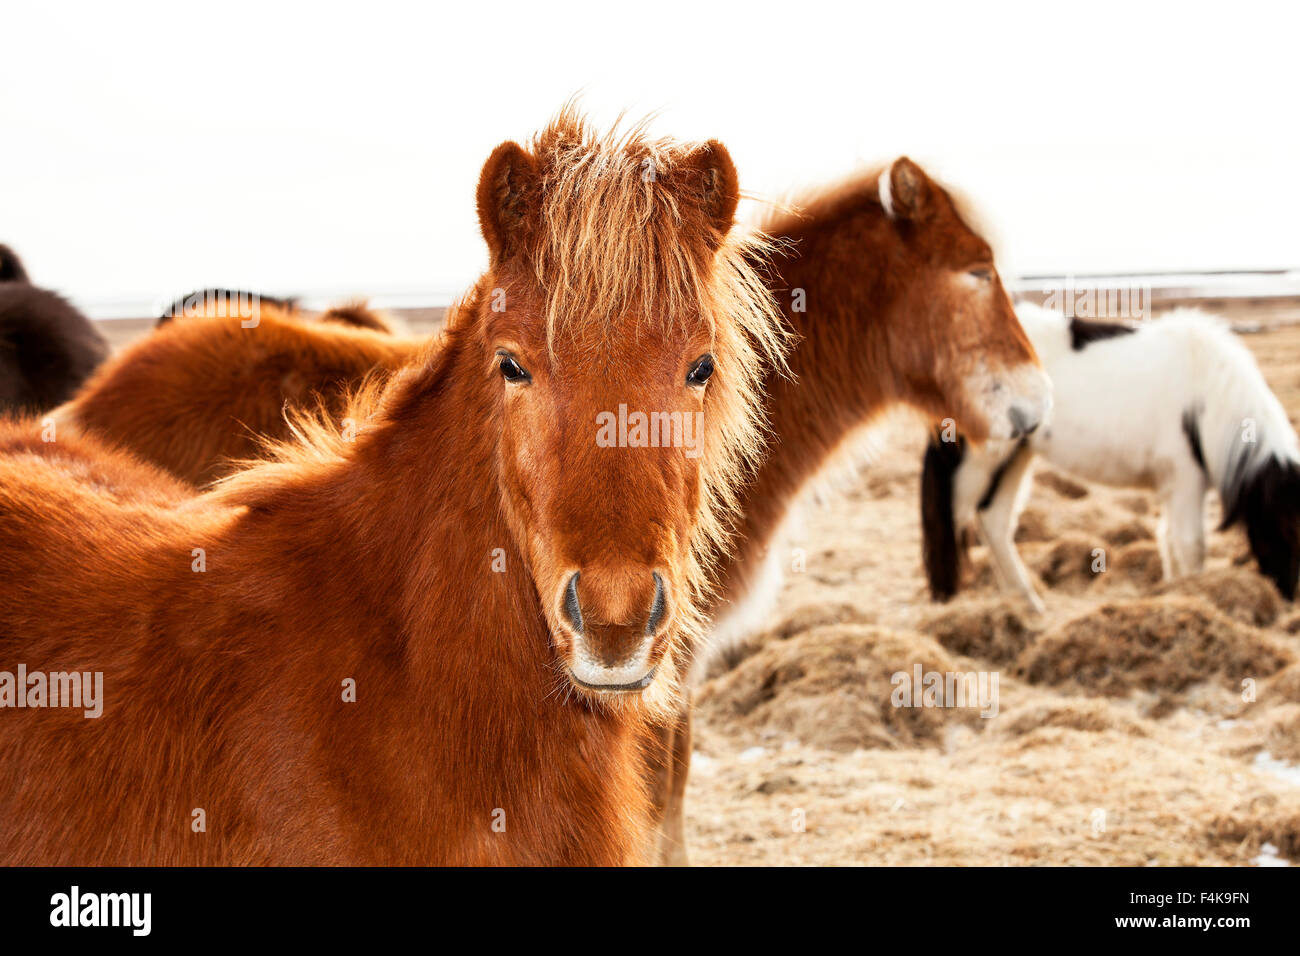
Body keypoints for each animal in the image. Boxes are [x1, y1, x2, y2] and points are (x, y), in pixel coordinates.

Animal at [920, 302, 1300, 613]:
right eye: (1287, 526)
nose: (1290, 600)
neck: (1208, 390)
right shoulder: (1185, 480)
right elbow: (1191, 546)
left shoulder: (1174, 486)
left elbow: (1170, 543)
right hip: (981, 460)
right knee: (953, 518)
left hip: (1016, 456)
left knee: (994, 521)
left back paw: (1028, 604)